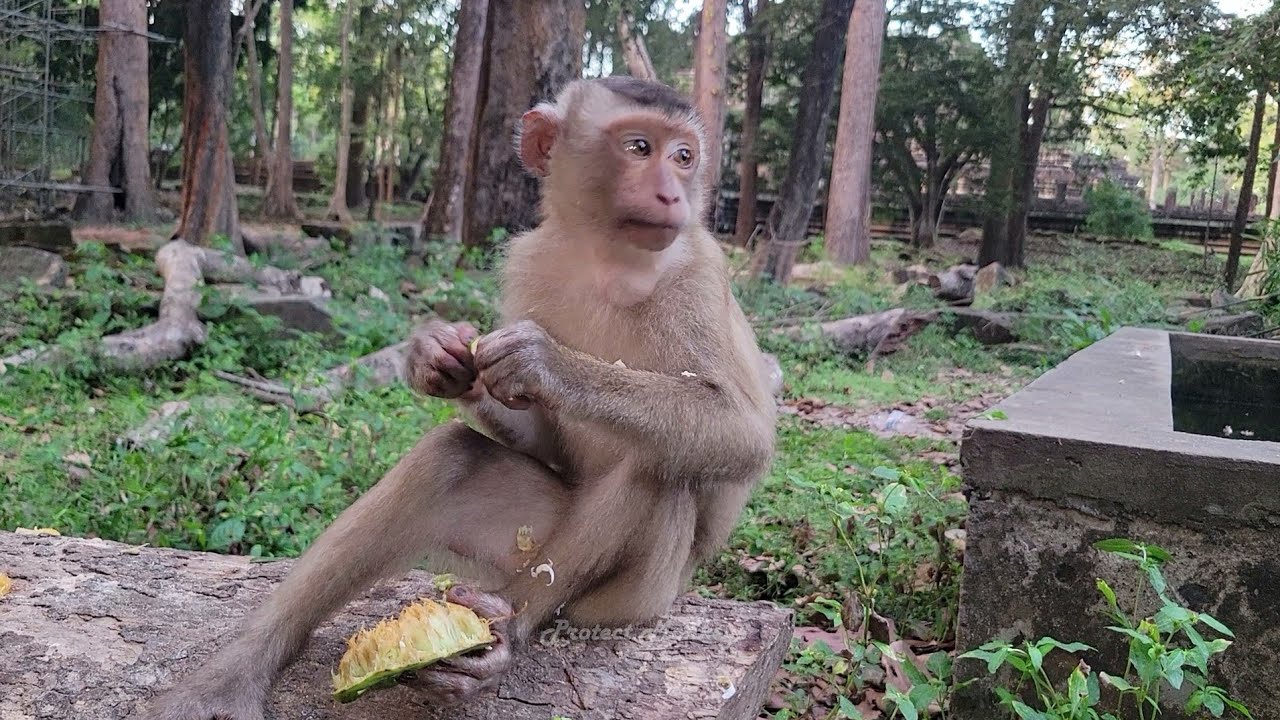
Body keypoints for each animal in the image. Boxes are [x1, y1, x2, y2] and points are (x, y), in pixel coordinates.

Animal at [143, 76, 778, 720]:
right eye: (640, 147)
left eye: (684, 157)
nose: (673, 194)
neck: (608, 258)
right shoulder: (528, 262)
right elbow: (544, 439)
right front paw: (439, 360)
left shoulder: (699, 271)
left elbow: (742, 435)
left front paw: (544, 362)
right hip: (515, 545)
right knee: (448, 459)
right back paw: (240, 670)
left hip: (635, 598)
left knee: (661, 461)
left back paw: (508, 632)